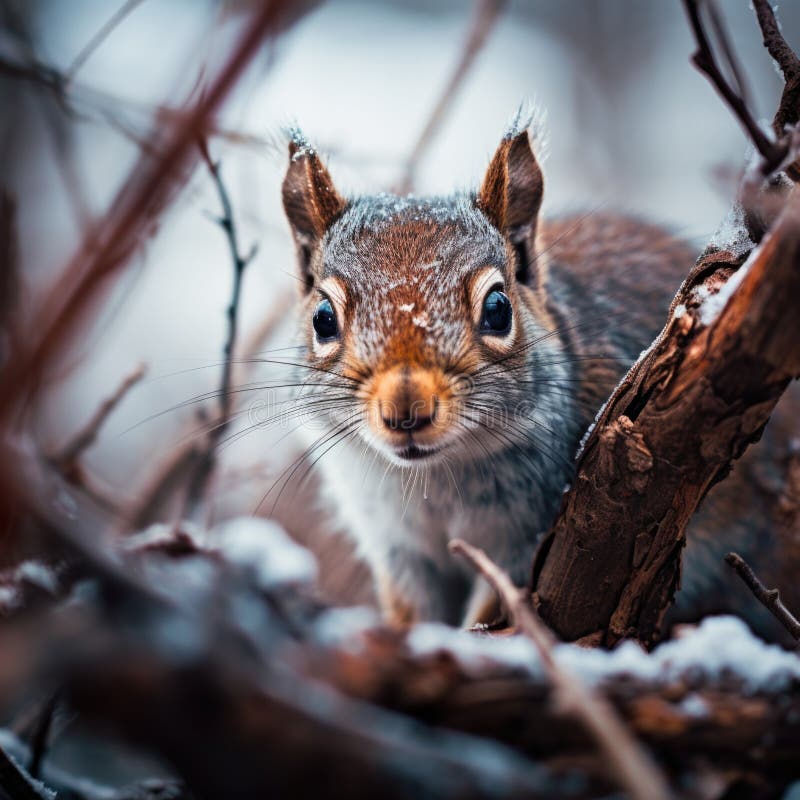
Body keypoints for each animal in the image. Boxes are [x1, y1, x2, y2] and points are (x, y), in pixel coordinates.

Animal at [280, 120, 800, 636]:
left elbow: (496, 605)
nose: (406, 409)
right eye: (322, 319)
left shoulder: (527, 538)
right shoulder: (397, 546)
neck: (435, 477)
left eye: (498, 309)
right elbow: (411, 610)